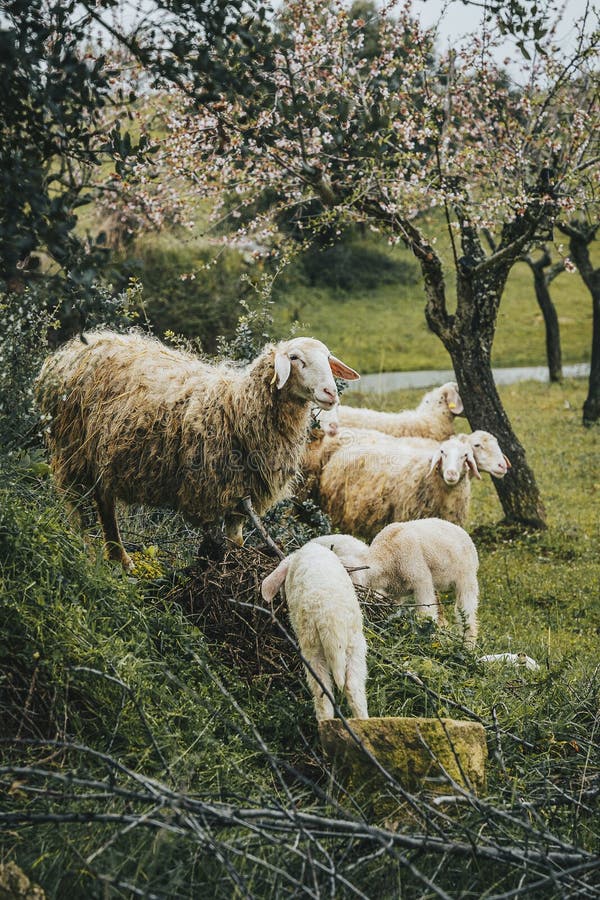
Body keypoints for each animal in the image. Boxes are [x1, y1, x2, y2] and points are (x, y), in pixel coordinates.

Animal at [35, 330, 359, 570]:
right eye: (294, 358)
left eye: (328, 359)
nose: (330, 393)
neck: (237, 407)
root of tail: (65, 353)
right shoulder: (207, 493)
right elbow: (214, 544)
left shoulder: (241, 496)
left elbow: (235, 541)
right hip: (70, 447)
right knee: (77, 504)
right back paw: (90, 553)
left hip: (100, 455)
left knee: (104, 500)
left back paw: (120, 559)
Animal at [261, 543, 368, 721]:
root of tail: (330, 617)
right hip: (355, 641)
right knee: (353, 686)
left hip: (312, 643)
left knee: (322, 691)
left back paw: (324, 721)